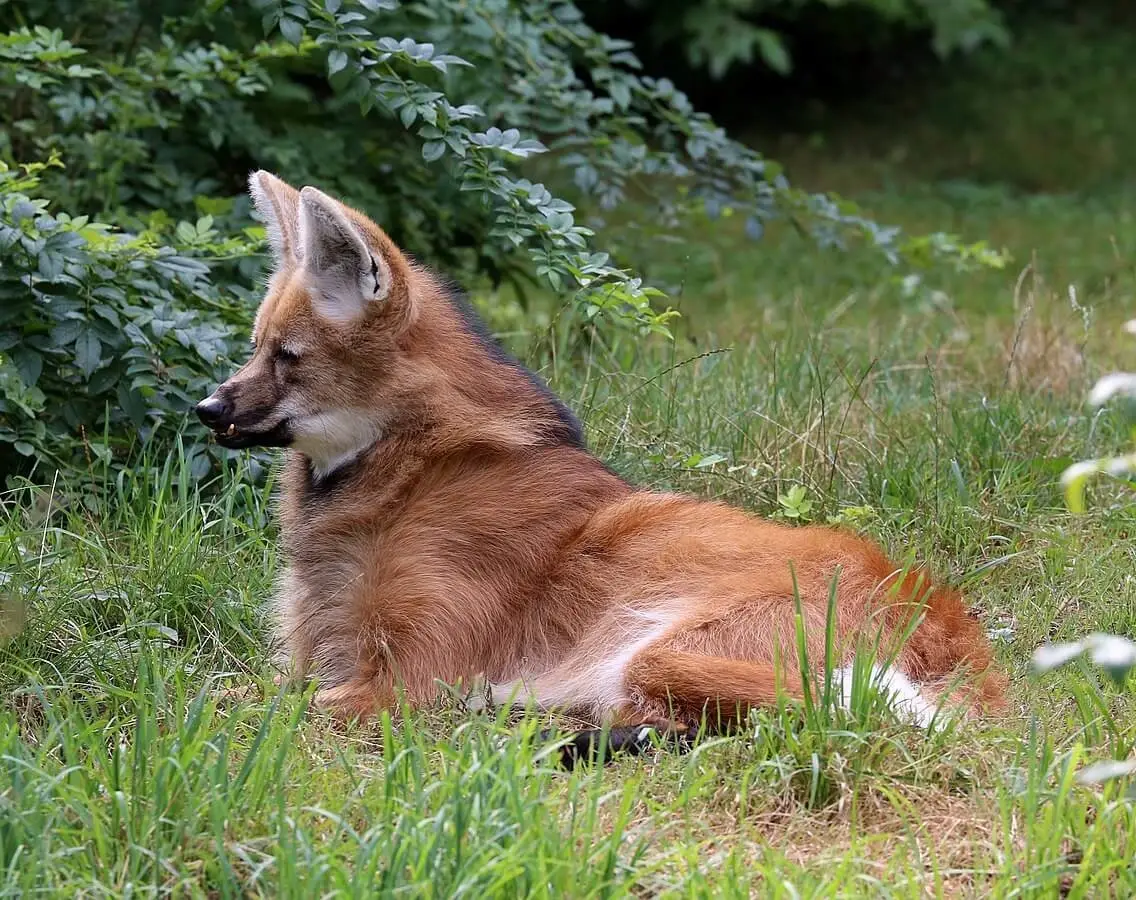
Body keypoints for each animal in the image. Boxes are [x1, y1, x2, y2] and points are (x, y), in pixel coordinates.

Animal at [196, 172, 1006, 761]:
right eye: (256, 346)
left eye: (288, 358)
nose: (206, 408)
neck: (406, 465)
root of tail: (955, 633)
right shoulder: (317, 658)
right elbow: (231, 691)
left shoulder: (411, 679)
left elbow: (254, 708)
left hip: (664, 647)